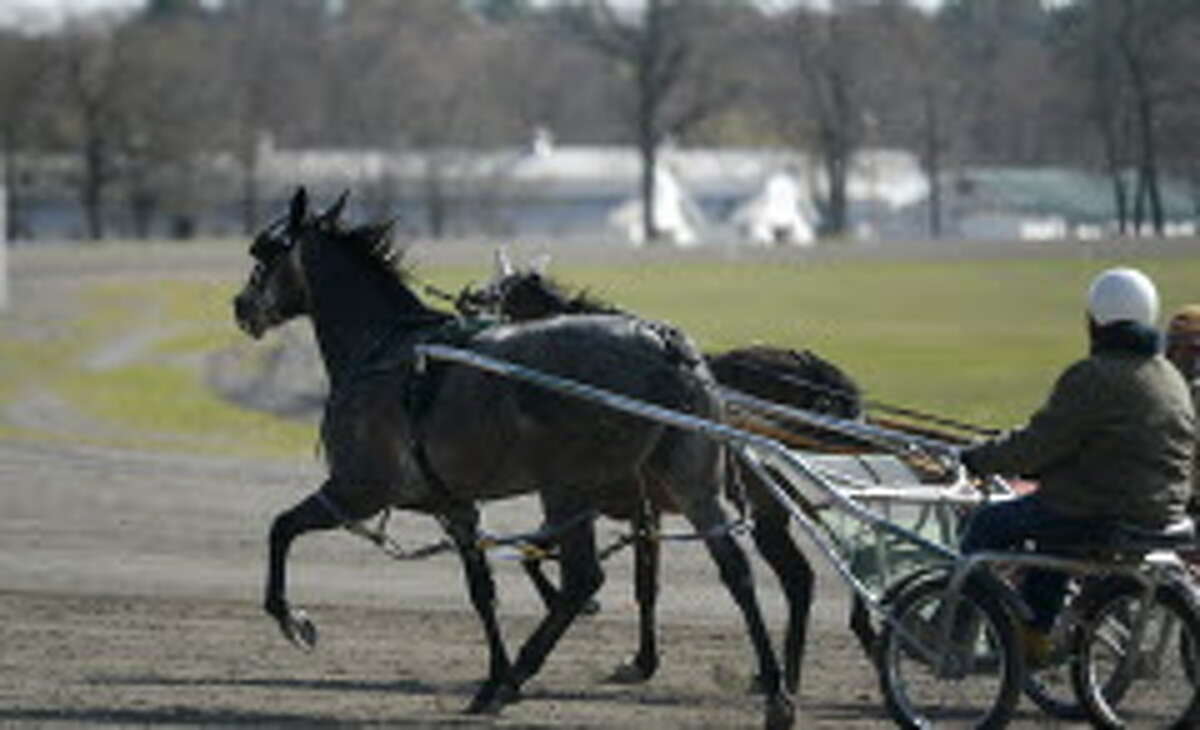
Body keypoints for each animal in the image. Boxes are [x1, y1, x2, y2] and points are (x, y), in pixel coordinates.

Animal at [232, 187, 795, 729]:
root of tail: (663, 344)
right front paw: (493, 672)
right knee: (735, 571)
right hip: (687, 482)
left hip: (569, 488)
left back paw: (519, 674)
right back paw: (776, 692)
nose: (241, 306)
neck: (387, 353)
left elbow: (281, 529)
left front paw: (293, 619)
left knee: (582, 581)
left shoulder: (357, 490)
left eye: (265, 252)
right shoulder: (454, 507)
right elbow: (482, 591)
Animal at [458, 260, 875, 692]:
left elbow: (628, 579)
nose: (467, 300)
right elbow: (602, 570)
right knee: (803, 569)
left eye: (500, 295)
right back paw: (789, 671)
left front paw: (631, 649)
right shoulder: (631, 505)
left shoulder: (621, 502)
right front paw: (631, 647)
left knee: (809, 562)